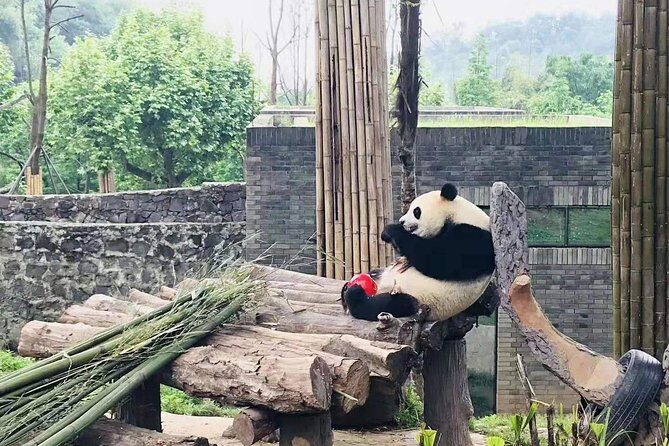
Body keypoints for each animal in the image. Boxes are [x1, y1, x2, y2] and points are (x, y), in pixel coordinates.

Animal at [342, 182, 495, 322]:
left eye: (416, 211)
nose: (401, 221)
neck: (459, 214)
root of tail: (380, 287)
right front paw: (387, 235)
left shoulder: (473, 239)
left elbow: (438, 260)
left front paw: (393, 230)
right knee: (375, 276)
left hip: (421, 299)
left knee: (391, 304)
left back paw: (353, 295)